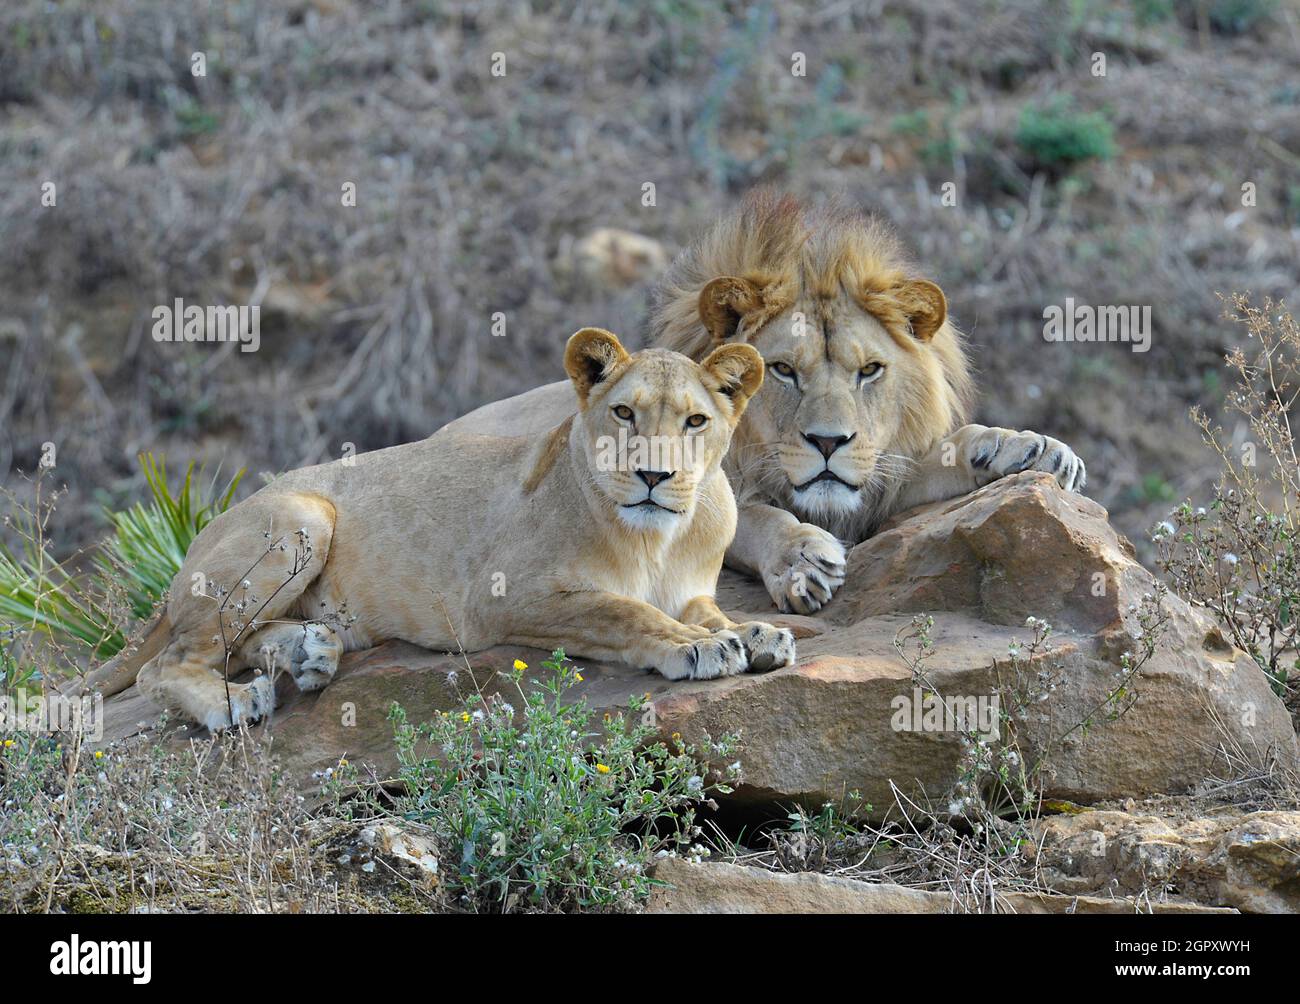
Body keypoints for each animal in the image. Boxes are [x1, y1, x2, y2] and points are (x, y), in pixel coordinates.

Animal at [81, 329, 795, 729]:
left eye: (696, 422)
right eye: (624, 413)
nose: (652, 474)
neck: (658, 538)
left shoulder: (692, 588)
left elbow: (707, 611)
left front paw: (755, 634)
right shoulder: (500, 598)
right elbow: (626, 612)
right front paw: (698, 648)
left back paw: (310, 651)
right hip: (304, 516)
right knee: (163, 668)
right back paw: (234, 705)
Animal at [447, 192, 1086, 614]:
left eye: (869, 371)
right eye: (783, 370)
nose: (828, 442)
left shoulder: (875, 486)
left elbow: (935, 457)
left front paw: (1025, 448)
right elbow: (755, 518)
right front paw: (802, 560)